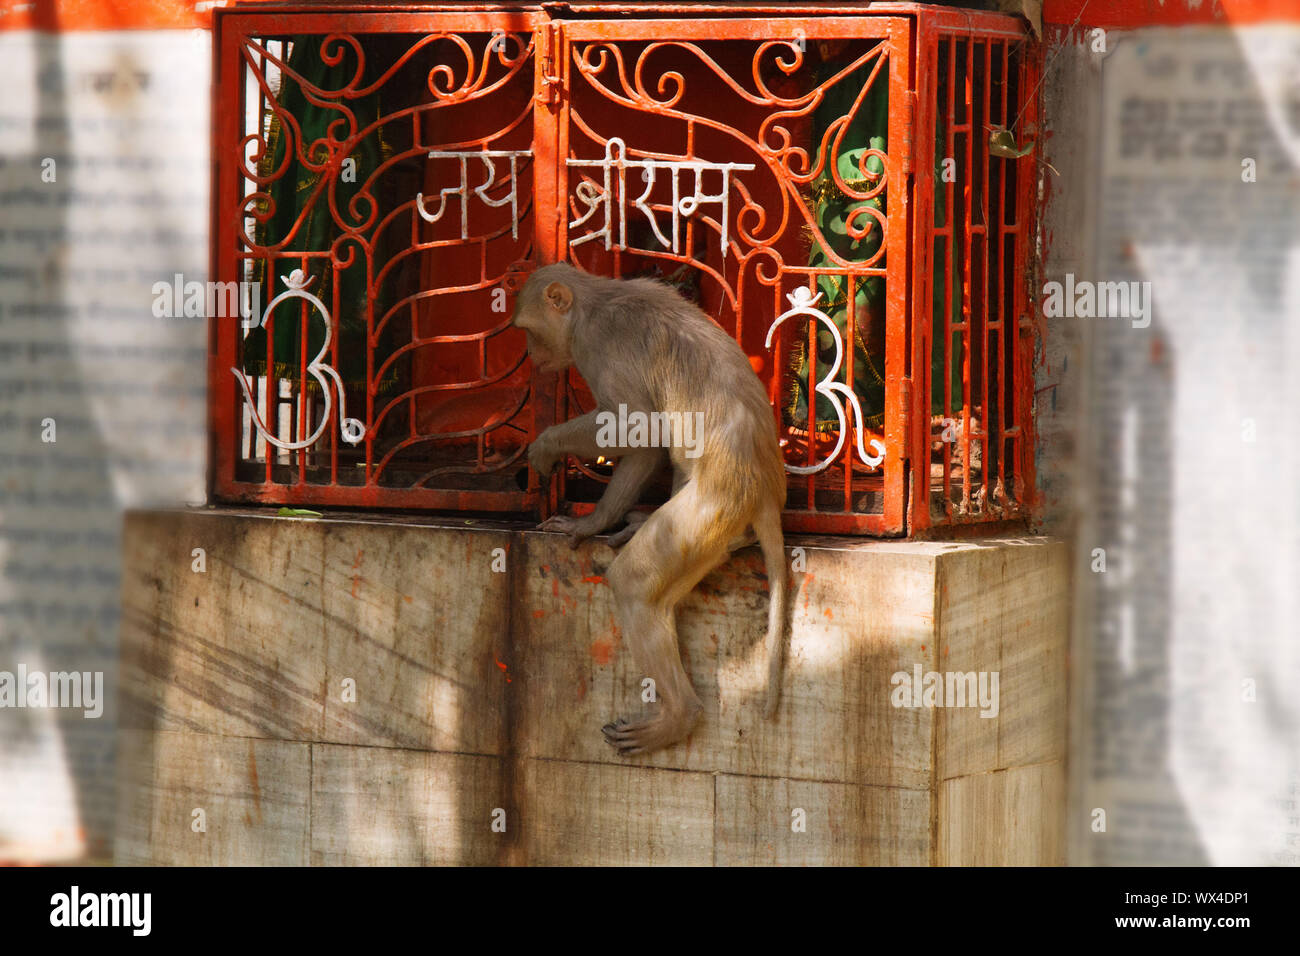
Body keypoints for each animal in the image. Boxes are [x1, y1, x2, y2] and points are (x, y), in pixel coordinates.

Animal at [511, 262, 788, 756]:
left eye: (528, 330)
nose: (528, 352)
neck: (591, 304)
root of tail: (766, 488)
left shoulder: (598, 346)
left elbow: (636, 427)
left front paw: (545, 445)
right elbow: (645, 449)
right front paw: (594, 522)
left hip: (709, 508)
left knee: (635, 583)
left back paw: (679, 715)